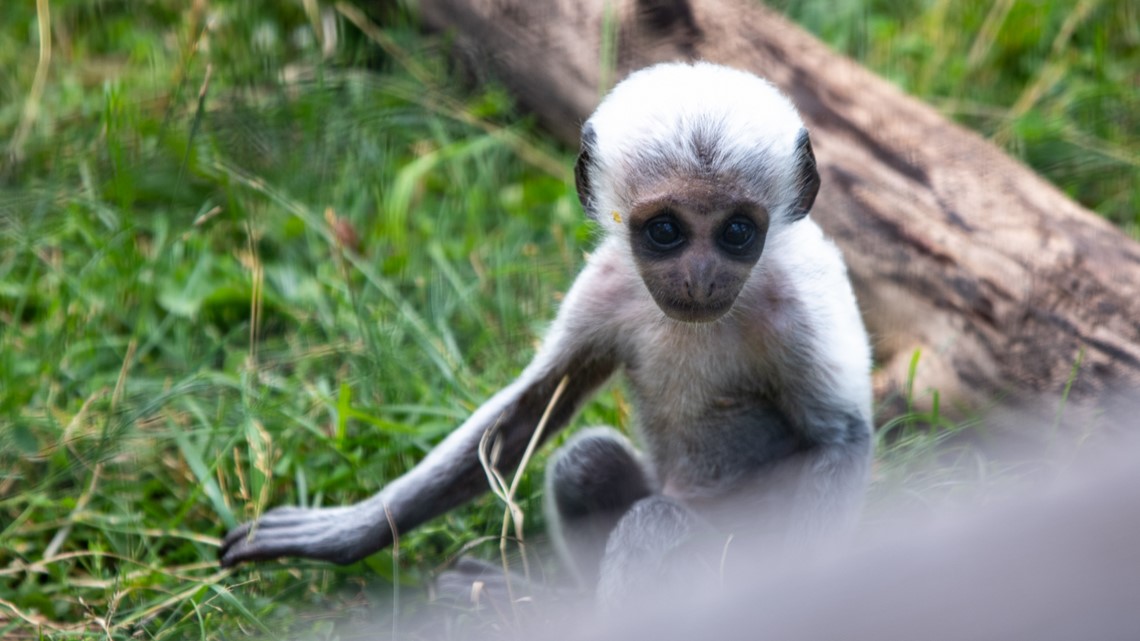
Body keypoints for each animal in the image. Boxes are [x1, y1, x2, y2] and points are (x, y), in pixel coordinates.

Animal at [219, 62, 873, 598]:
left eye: (738, 232)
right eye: (666, 231)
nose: (701, 278)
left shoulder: (800, 307)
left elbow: (840, 441)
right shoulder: (605, 286)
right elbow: (530, 410)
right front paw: (345, 531)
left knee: (654, 523)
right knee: (583, 461)